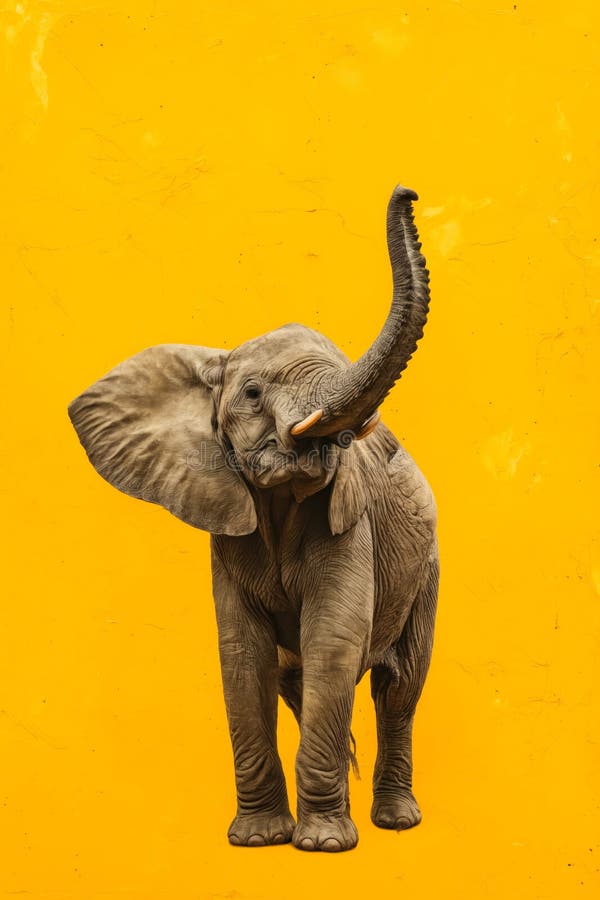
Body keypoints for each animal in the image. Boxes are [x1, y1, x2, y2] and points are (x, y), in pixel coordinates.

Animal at [68, 184, 439, 853]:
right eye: (252, 393)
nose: (408, 192)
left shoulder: (350, 525)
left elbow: (332, 640)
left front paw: (323, 847)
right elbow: (243, 651)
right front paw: (261, 840)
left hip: (427, 571)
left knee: (400, 688)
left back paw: (395, 823)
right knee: (301, 683)